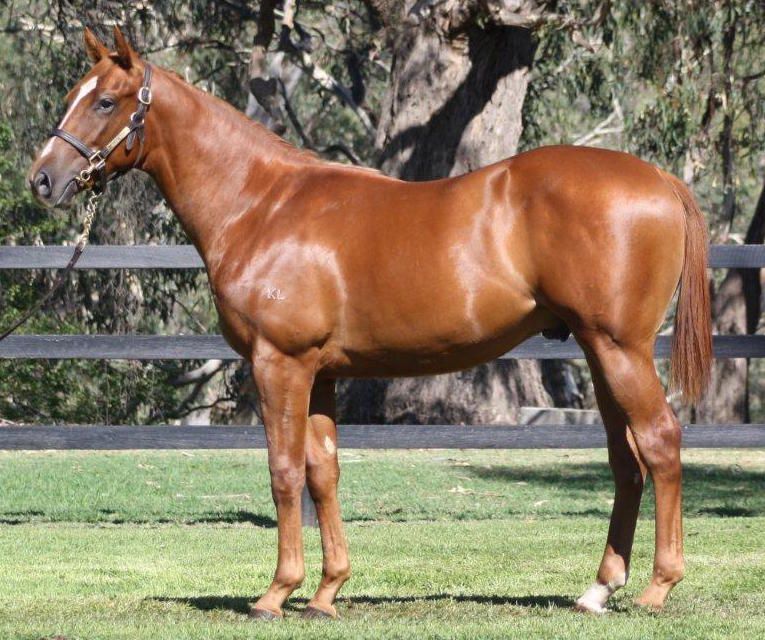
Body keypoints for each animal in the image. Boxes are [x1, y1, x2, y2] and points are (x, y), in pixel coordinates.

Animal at [28, 27, 712, 620]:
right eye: (73, 96)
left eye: (106, 101)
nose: (42, 180)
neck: (260, 203)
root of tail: (659, 177)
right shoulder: (321, 374)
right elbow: (323, 473)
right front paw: (327, 592)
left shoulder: (279, 363)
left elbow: (283, 473)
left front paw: (276, 594)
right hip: (598, 352)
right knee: (626, 459)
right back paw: (598, 590)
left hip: (620, 348)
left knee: (659, 442)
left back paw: (658, 588)